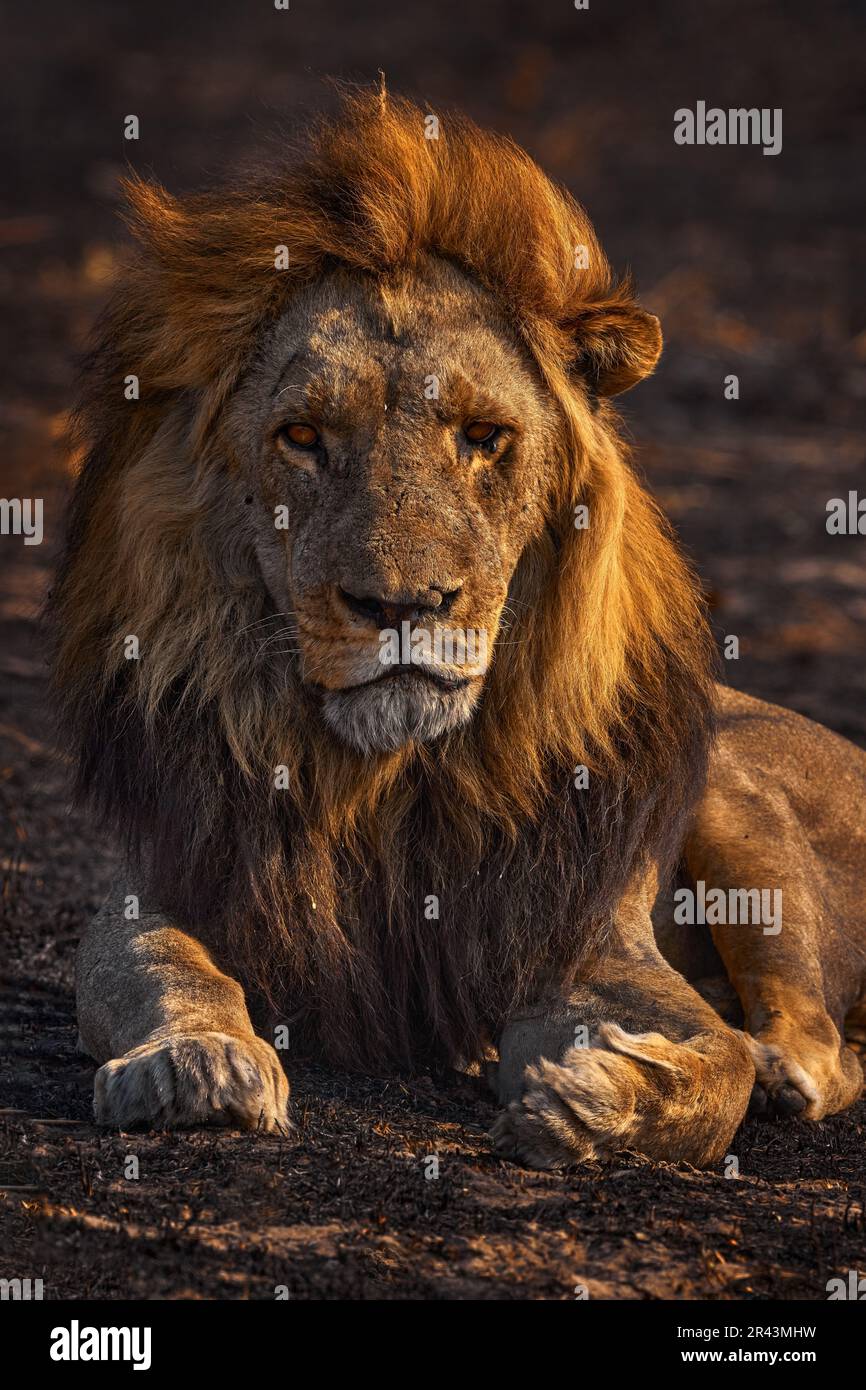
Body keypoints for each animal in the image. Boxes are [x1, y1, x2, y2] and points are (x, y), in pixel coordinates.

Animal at [48, 89, 866, 1168]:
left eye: (484, 438)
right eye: (301, 436)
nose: (402, 605)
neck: (386, 783)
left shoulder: (581, 937)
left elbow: (713, 1065)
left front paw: (595, 1097)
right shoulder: (161, 884)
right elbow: (171, 970)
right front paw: (197, 1063)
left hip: (741, 807)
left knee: (818, 1039)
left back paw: (780, 1073)